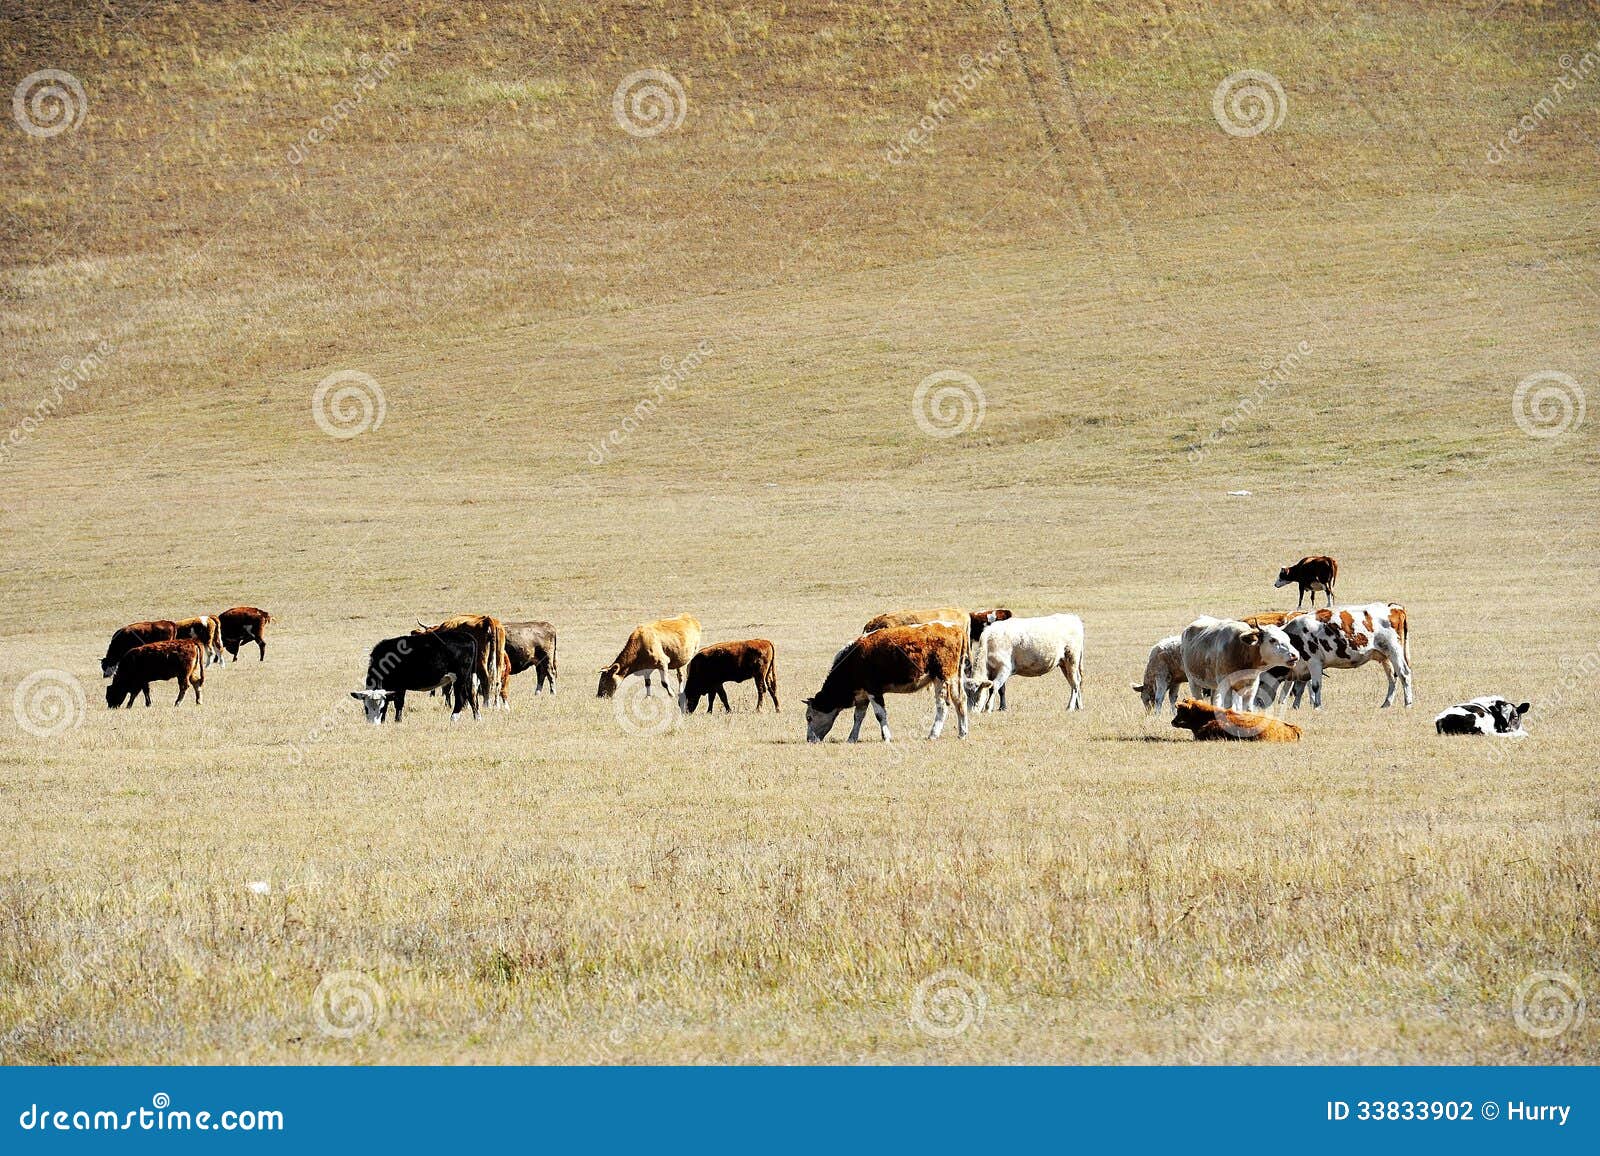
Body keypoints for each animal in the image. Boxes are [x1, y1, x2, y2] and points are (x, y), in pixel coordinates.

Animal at [350, 627, 479, 723]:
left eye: (380, 708)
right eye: (366, 708)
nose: (373, 724)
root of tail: (466, 636)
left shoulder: (400, 687)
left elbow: (398, 704)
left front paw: (397, 721)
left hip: (459, 678)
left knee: (461, 698)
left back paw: (453, 718)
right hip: (468, 677)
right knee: (471, 695)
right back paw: (477, 718)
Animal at [804, 622, 969, 742]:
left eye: (809, 717)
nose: (809, 739)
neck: (853, 660)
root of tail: (955, 628)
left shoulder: (873, 690)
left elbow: (880, 714)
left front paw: (886, 737)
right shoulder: (862, 695)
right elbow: (858, 716)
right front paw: (852, 738)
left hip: (941, 678)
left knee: (942, 706)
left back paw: (933, 734)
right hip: (954, 678)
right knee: (960, 701)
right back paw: (962, 732)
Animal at [1265, 602, 1414, 709]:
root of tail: (1394, 607)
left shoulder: (1314, 662)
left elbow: (1315, 686)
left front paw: (1317, 707)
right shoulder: (1303, 668)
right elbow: (1299, 687)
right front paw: (1295, 707)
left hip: (1394, 651)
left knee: (1404, 674)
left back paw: (1408, 704)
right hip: (1384, 657)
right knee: (1392, 678)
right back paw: (1386, 703)